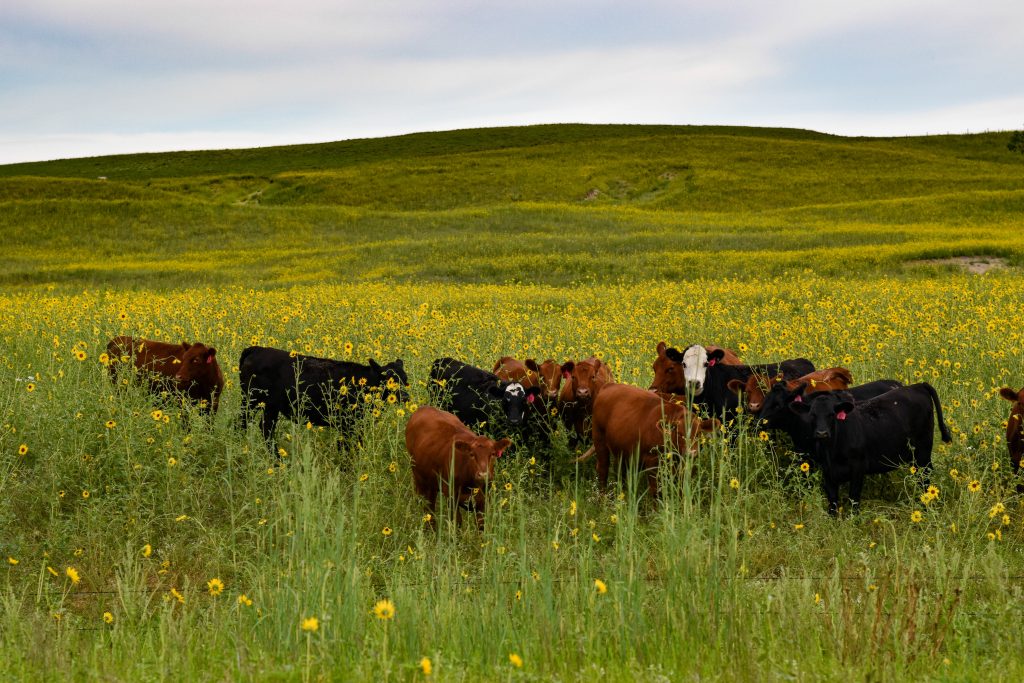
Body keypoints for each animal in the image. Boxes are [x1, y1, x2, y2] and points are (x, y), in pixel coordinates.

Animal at [239, 346, 409, 445]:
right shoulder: (346, 423)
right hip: (252, 401)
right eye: (389, 381)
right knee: (246, 424)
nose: (406, 397)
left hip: (268, 407)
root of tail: (256, 349)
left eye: (405, 380)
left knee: (262, 428)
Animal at [576, 384, 718, 498]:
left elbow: (681, 488)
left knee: (621, 471)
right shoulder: (652, 461)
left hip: (622, 449)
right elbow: (655, 491)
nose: (692, 453)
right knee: (603, 469)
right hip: (599, 439)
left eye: (698, 434)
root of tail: (609, 385)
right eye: (679, 433)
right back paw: (602, 499)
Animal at [789, 383, 952, 515]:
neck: (832, 450)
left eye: (831, 414)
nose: (822, 433)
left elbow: (854, 497)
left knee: (925, 476)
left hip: (923, 451)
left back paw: (925, 506)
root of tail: (917, 386)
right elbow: (832, 500)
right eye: (812, 415)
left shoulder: (858, 468)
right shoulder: (827, 472)